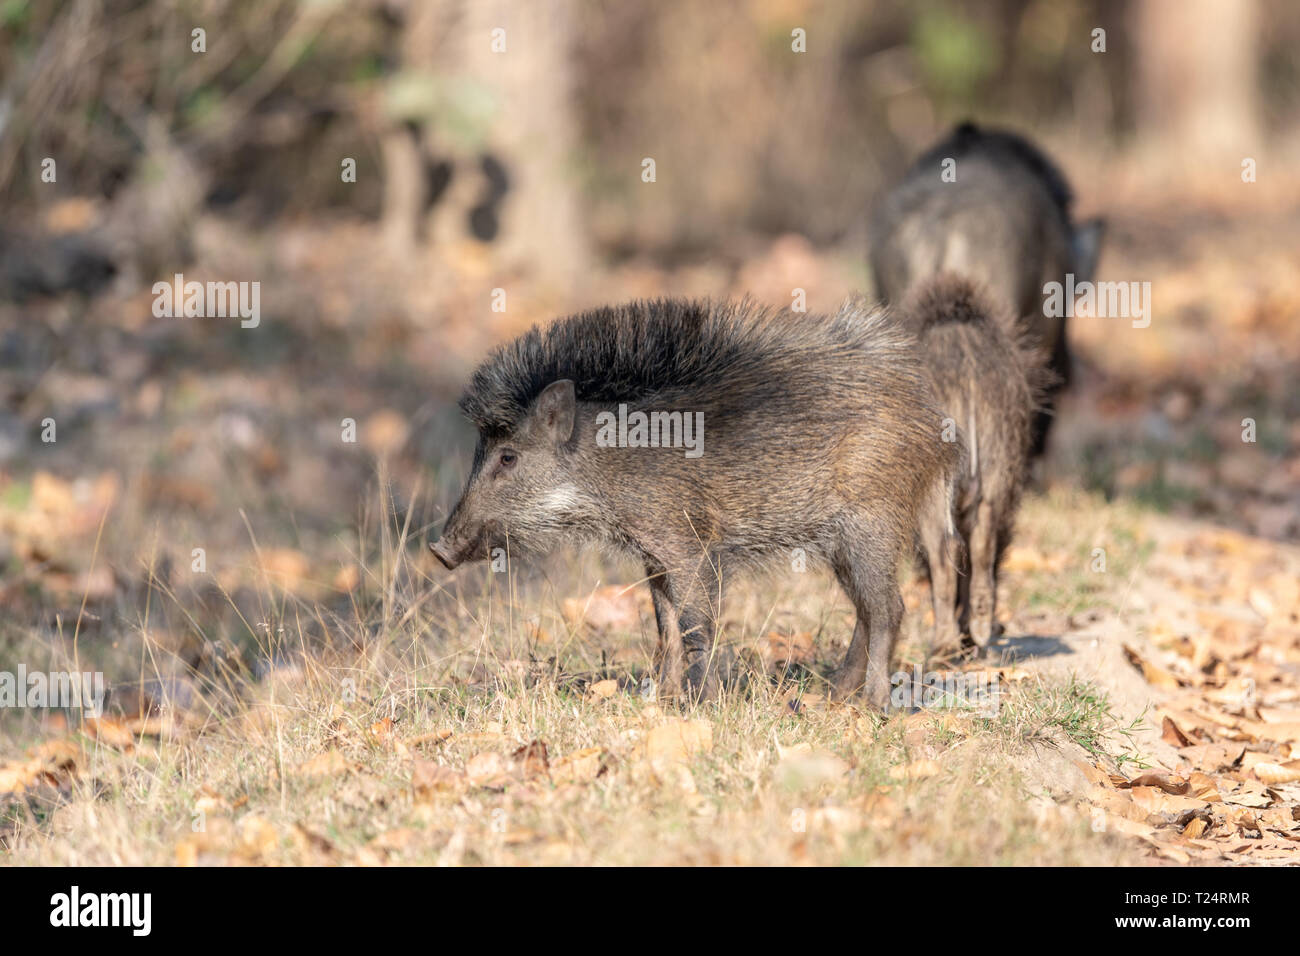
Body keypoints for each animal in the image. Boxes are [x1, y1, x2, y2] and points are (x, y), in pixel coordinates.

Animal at [431, 298, 960, 708]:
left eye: (508, 456)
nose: (438, 549)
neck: (603, 477)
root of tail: (933, 420)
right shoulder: (654, 556)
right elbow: (664, 627)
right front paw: (659, 701)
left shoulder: (688, 545)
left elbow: (694, 626)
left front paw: (700, 705)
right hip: (842, 541)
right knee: (867, 610)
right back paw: (830, 697)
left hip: (872, 522)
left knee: (888, 608)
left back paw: (871, 706)